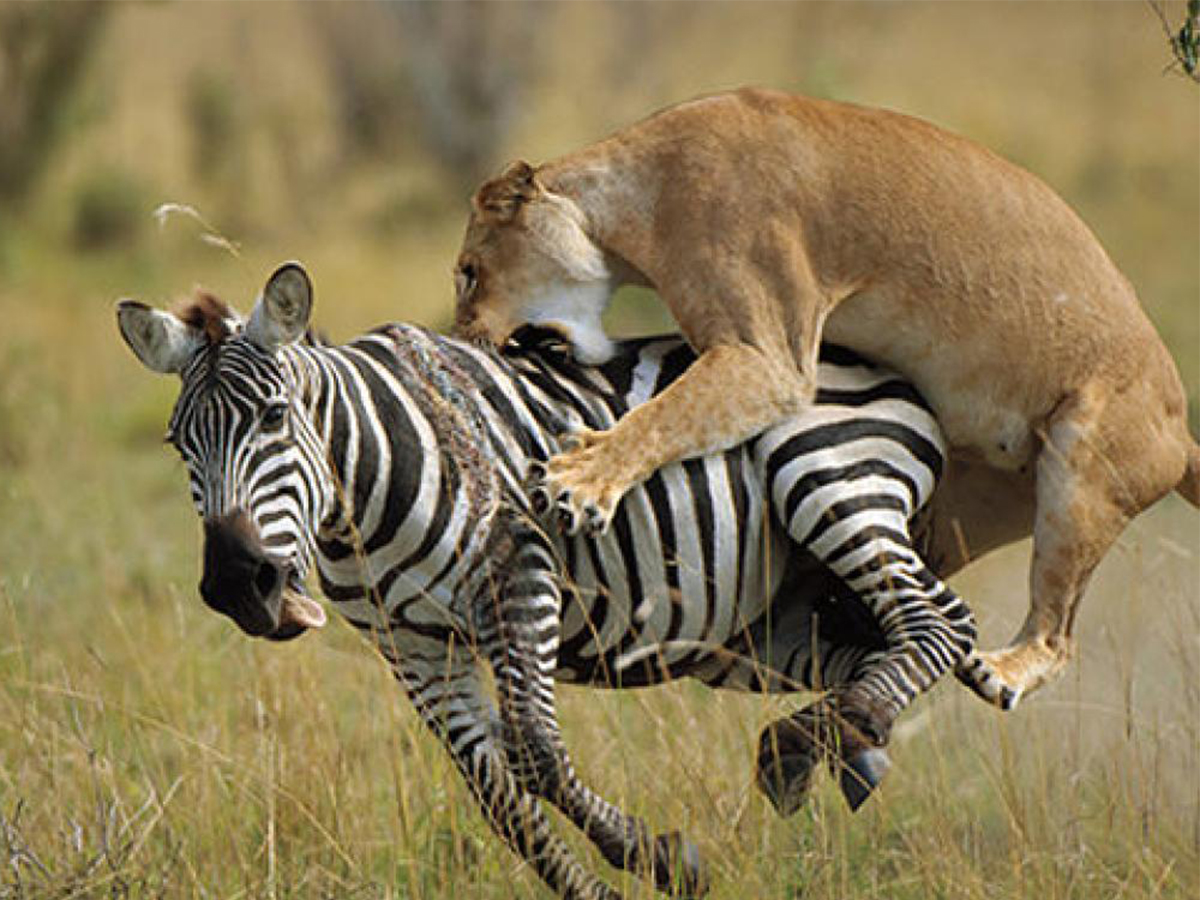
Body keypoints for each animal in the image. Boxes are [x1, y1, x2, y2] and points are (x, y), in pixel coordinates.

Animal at [114, 264, 974, 900]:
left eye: (272, 418)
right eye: (178, 442)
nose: (238, 585)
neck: (366, 476)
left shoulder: (519, 572)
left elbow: (533, 752)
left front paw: (666, 860)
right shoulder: (414, 647)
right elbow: (497, 796)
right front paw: (613, 879)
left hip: (828, 477)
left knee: (942, 624)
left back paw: (825, 736)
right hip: (762, 626)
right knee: (877, 649)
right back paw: (836, 750)